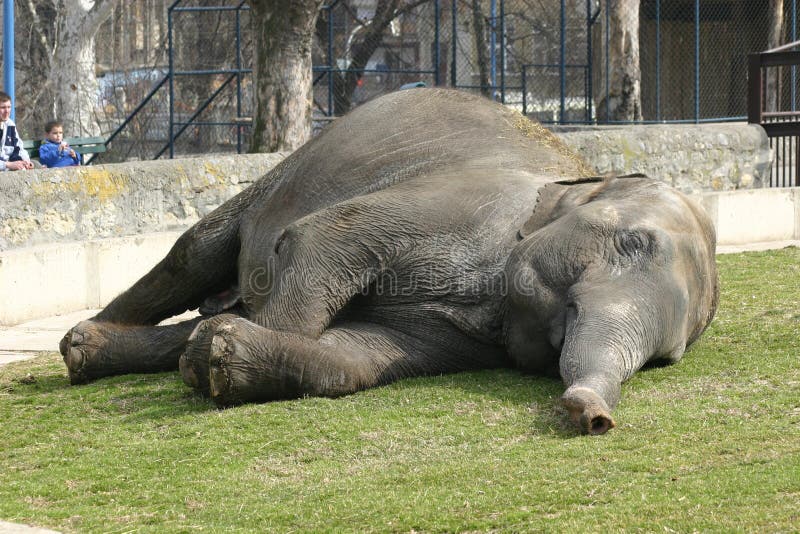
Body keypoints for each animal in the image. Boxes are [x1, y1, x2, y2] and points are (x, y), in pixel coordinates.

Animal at [59, 88, 719, 435]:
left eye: (667, 357)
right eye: (635, 243)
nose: (595, 418)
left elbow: (353, 357)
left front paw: (219, 355)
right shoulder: (465, 204)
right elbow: (323, 238)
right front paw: (212, 358)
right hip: (289, 170)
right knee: (194, 251)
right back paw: (82, 345)